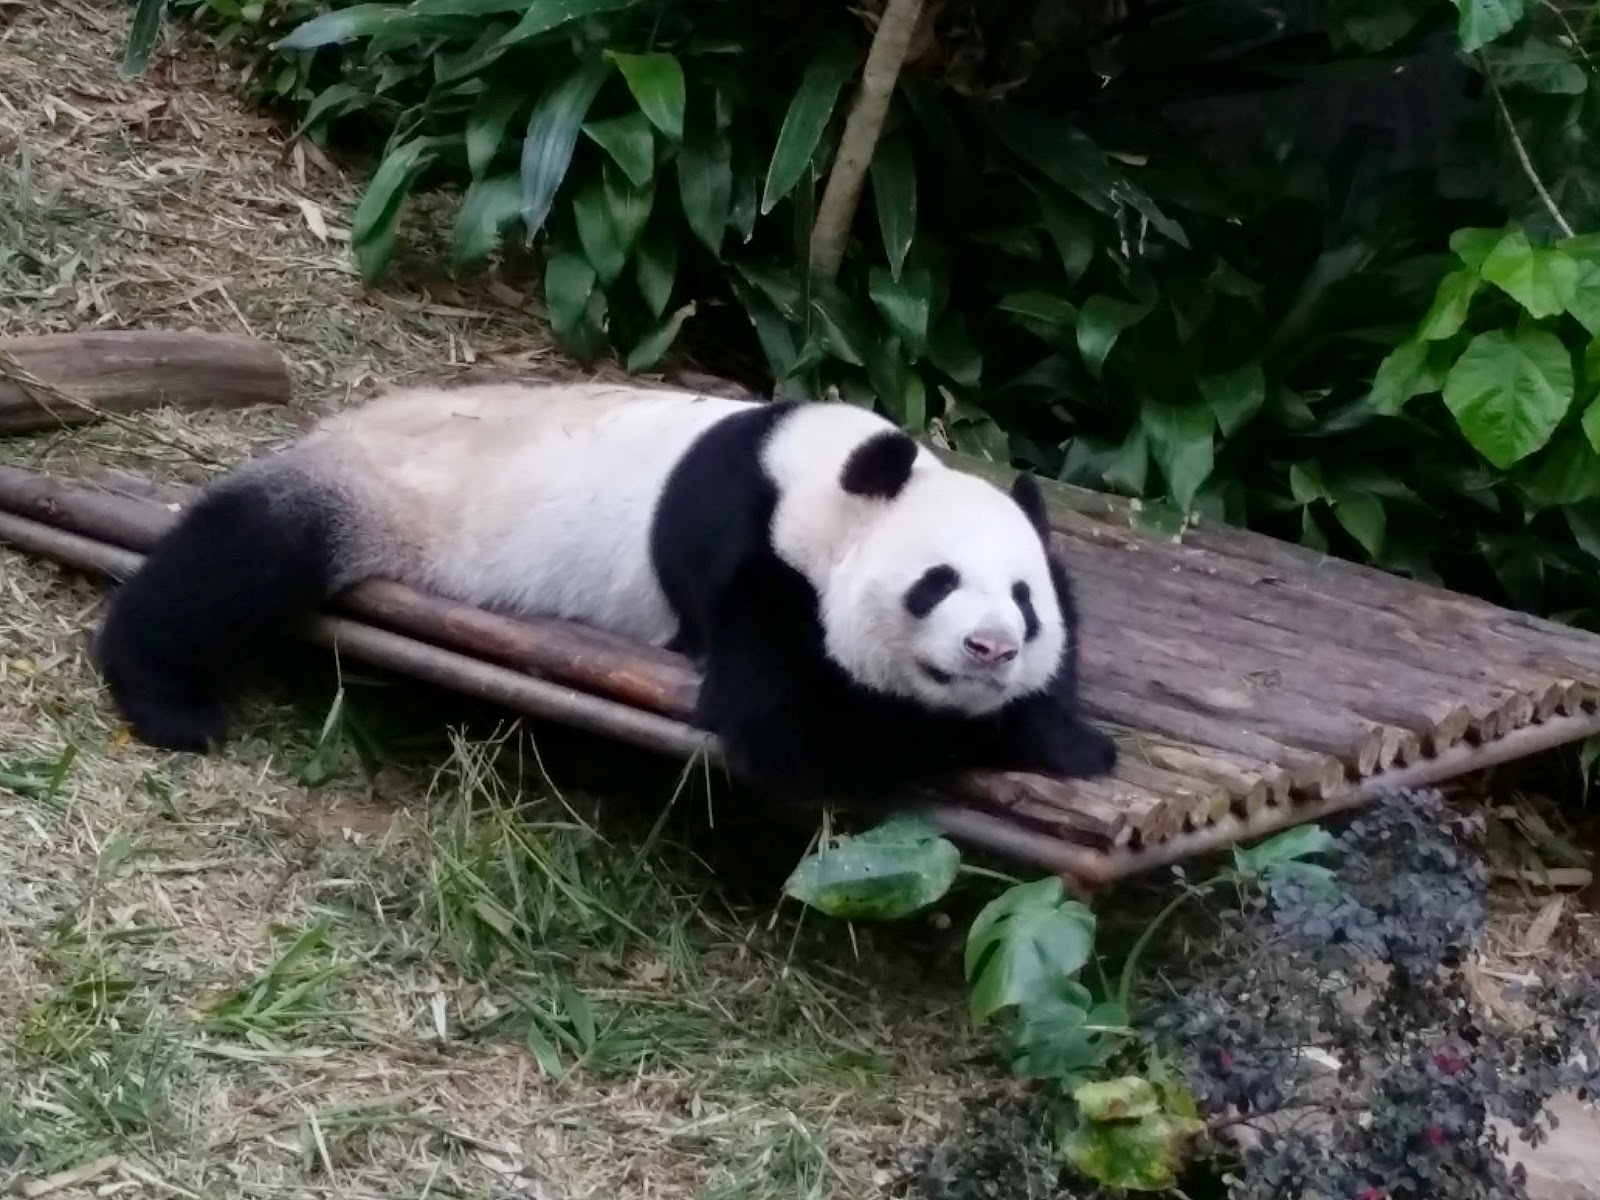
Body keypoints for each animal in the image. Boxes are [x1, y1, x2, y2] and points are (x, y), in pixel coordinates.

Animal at [92, 379, 1118, 803]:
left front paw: (1070, 738)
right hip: (383, 499)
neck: (817, 471)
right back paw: (167, 700)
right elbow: (800, 730)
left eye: (1024, 599)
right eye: (934, 584)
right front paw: (975, 730)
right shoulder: (748, 553)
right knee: (234, 560)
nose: (991, 649)